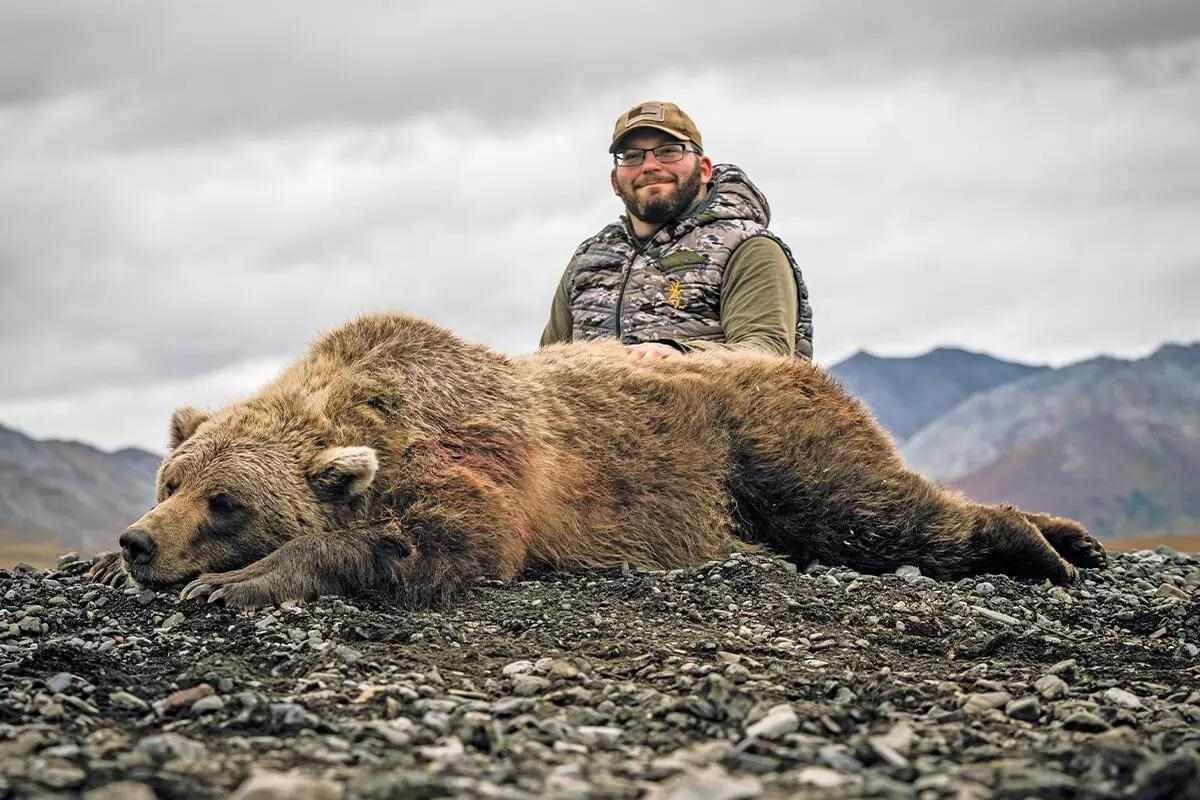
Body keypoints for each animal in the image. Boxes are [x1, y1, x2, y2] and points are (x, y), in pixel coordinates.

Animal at [89, 313, 1107, 608]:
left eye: (226, 502)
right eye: (170, 481)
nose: (139, 540)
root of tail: (803, 372)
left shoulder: (476, 454)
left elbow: (447, 544)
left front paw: (240, 581)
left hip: (763, 443)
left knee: (870, 512)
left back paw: (1035, 547)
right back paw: (1075, 535)